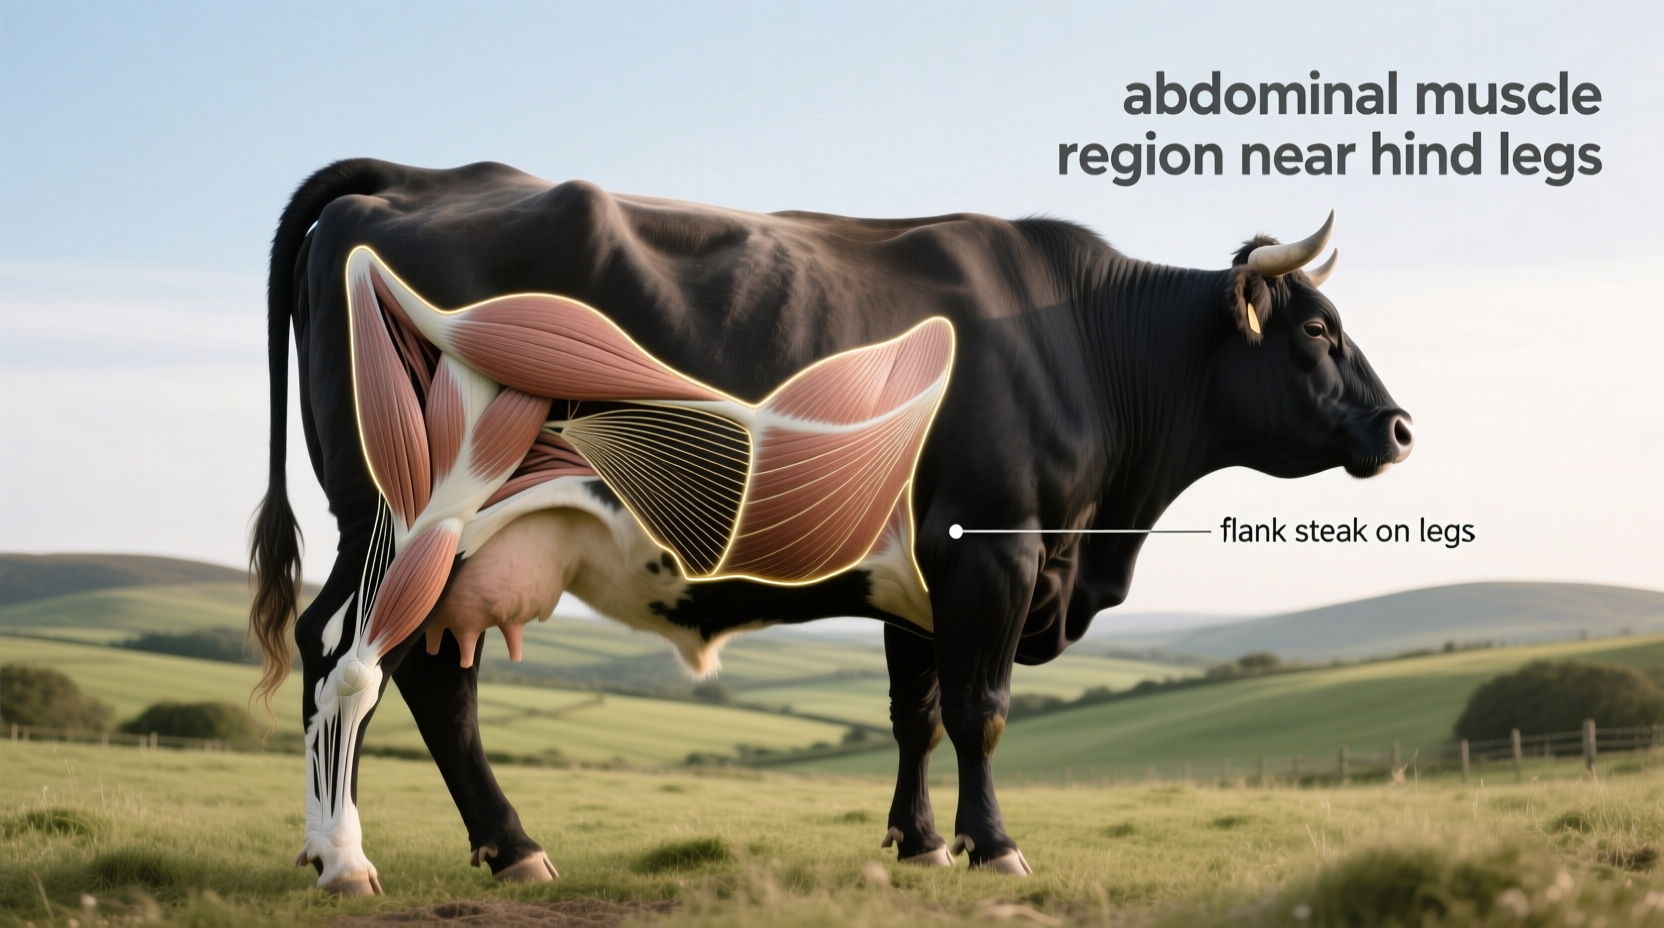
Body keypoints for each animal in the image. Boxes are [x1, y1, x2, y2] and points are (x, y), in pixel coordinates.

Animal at [250, 158, 1412, 894]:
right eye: (1318, 331)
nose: (1399, 427)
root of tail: (417, 177)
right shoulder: (996, 549)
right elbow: (982, 710)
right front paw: (992, 847)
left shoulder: (924, 575)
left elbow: (917, 713)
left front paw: (919, 845)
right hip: (401, 512)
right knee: (346, 659)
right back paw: (346, 857)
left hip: (463, 544)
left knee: (431, 683)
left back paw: (507, 848)